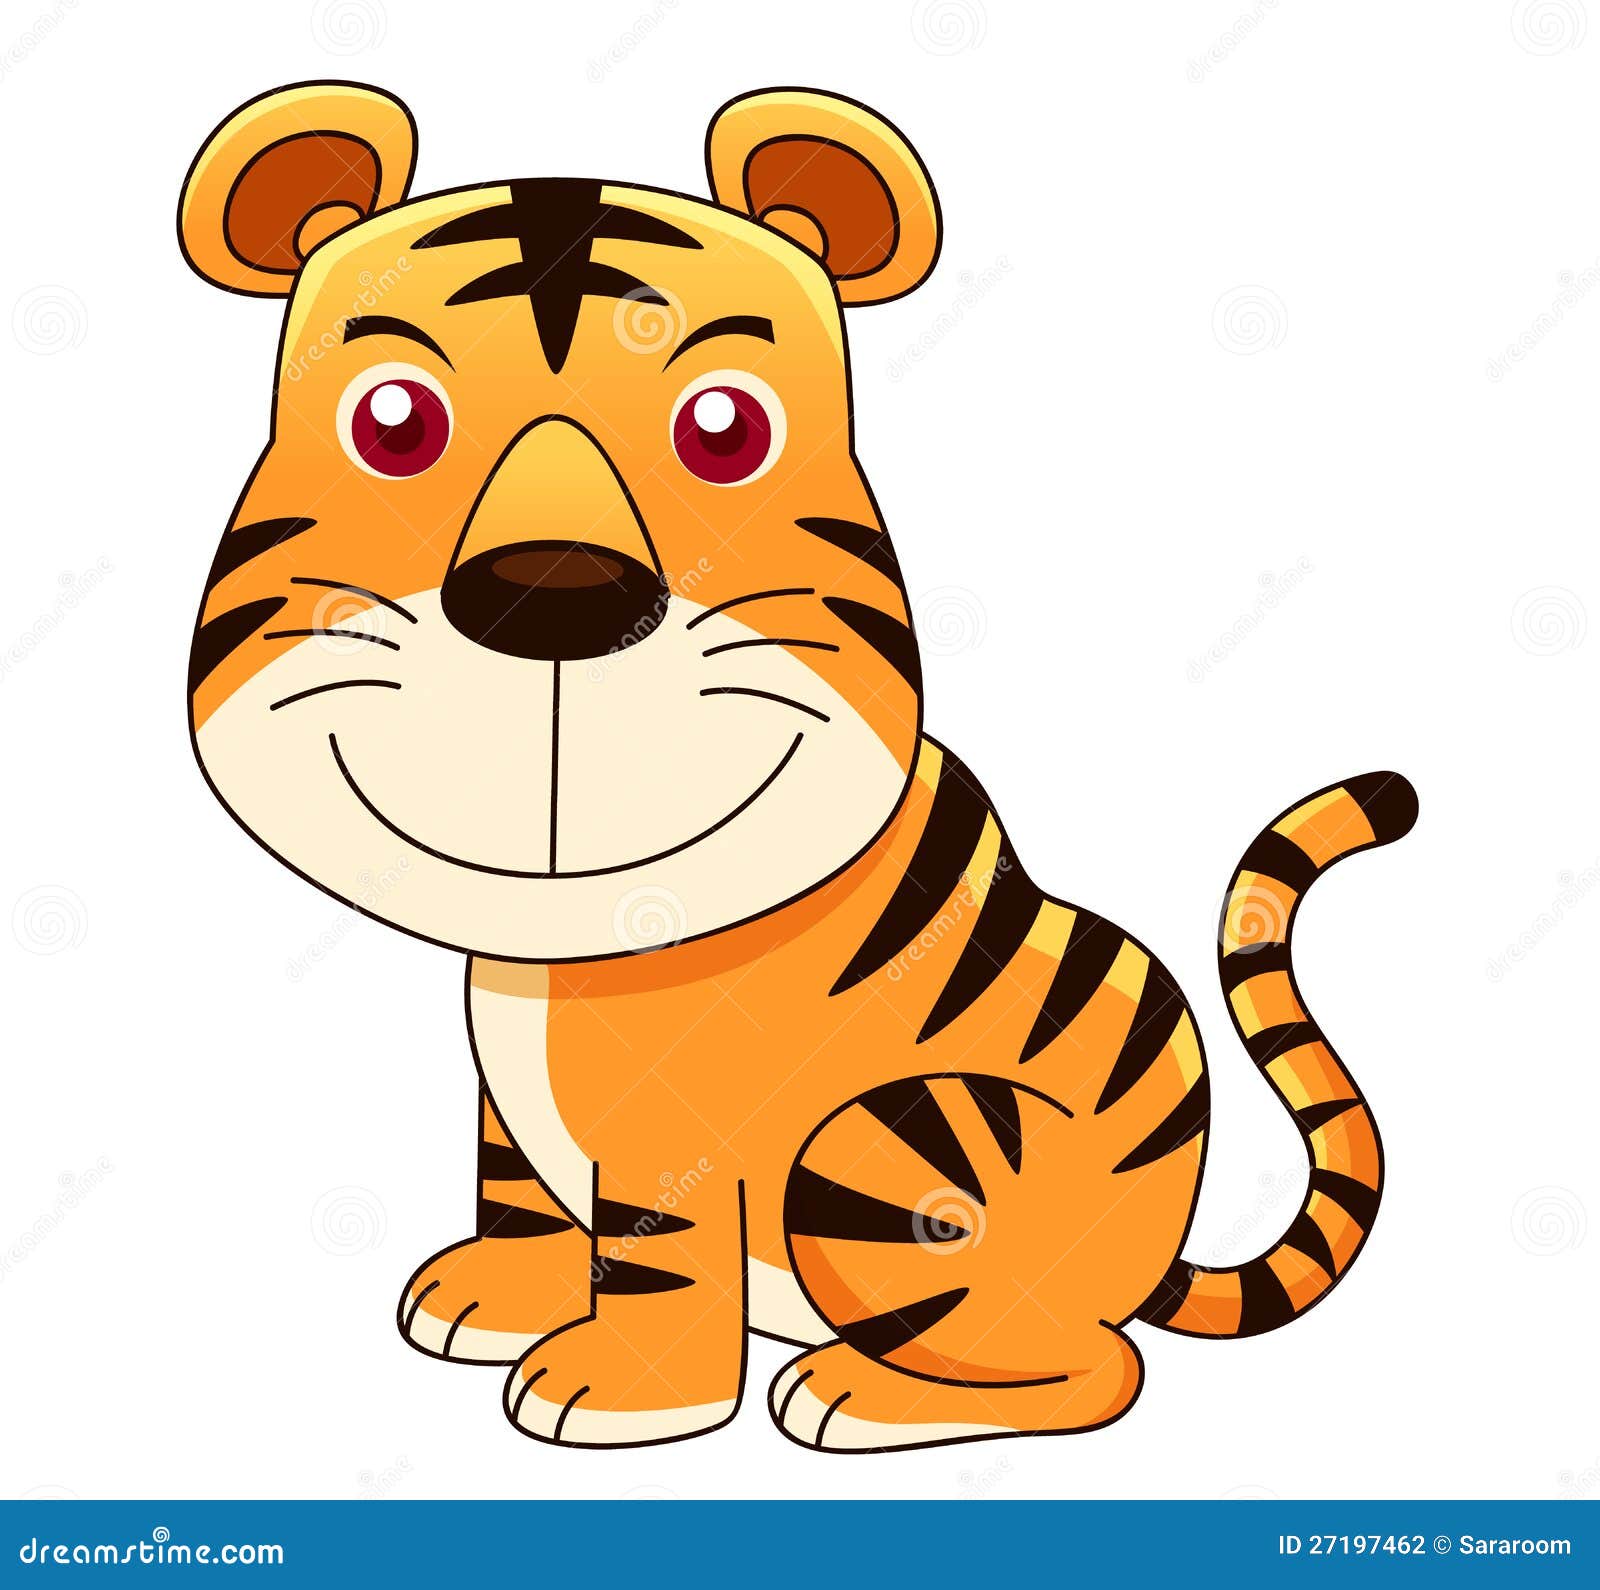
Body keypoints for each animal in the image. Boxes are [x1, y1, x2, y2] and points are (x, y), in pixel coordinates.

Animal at [177, 81, 1417, 1453]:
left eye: (726, 428)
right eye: (391, 422)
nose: (552, 590)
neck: (553, 950)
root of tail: (1152, 1260)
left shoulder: (671, 1126)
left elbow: (653, 1254)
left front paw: (619, 1390)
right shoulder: (513, 1101)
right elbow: (519, 1181)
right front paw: (501, 1293)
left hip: (906, 1141)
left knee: (1094, 1371)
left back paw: (858, 1392)